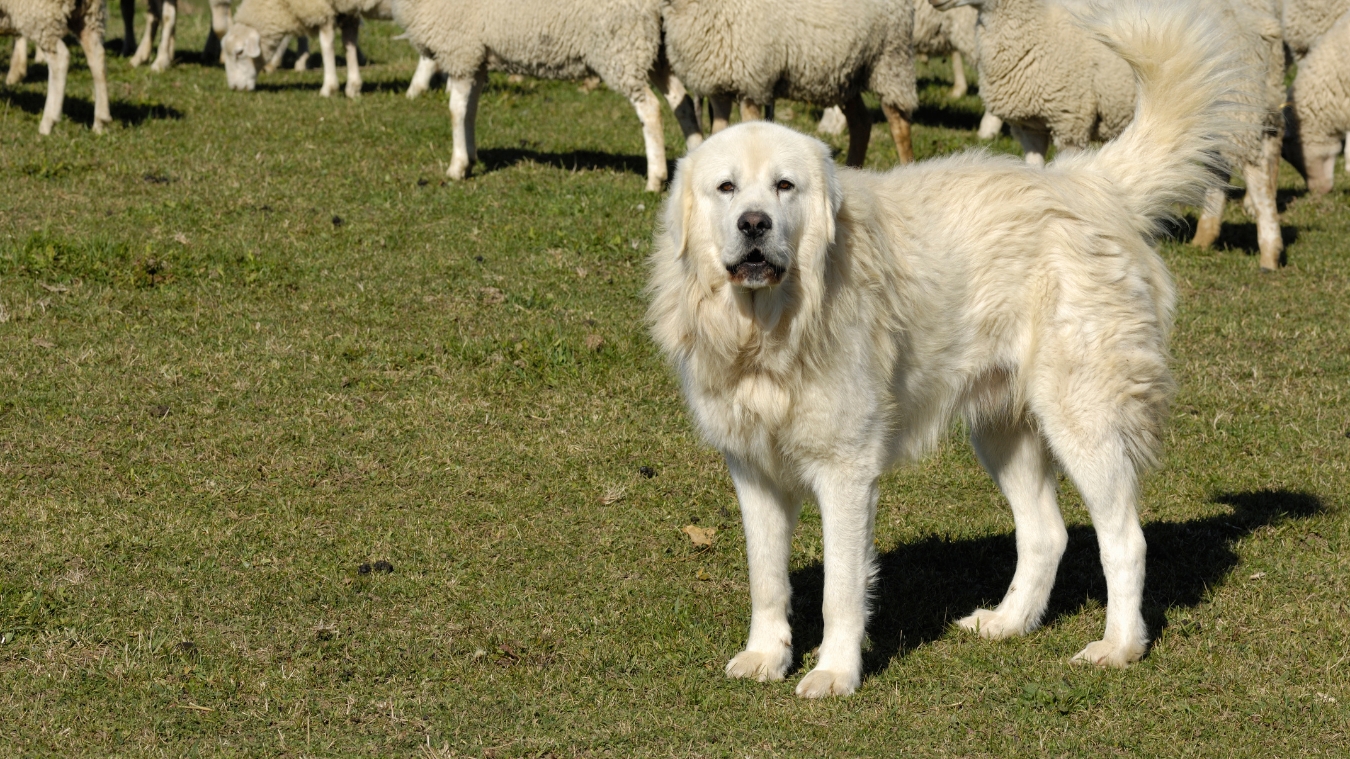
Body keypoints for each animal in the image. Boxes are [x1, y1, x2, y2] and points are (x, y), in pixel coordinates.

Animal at [1, 0, 111, 135]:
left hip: (39, 15)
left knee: (60, 58)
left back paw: (47, 123)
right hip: (89, 15)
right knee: (97, 55)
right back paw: (100, 122)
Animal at [221, 0, 390, 98]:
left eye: (239, 52)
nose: (234, 87)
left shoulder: (322, 11)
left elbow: (327, 44)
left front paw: (328, 88)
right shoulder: (347, 11)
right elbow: (349, 44)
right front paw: (353, 87)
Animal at [394, 0, 705, 193]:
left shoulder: (460, 49)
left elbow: (456, 110)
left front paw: (457, 167)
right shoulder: (476, 59)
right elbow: (470, 110)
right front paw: (469, 158)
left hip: (621, 46)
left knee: (650, 108)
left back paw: (655, 179)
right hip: (658, 50)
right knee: (683, 104)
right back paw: (696, 156)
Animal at [661, 0, 919, 167]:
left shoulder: (752, 81)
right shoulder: (719, 84)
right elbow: (718, 133)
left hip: (889, 60)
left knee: (898, 123)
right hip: (845, 75)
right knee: (861, 122)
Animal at [934, 0, 1286, 270]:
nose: (934, 2)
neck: (1035, 27)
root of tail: (1261, 23)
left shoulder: (1071, 120)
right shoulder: (1029, 128)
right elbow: (1033, 172)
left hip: (1241, 107)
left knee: (1256, 173)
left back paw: (1269, 253)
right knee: (1220, 170)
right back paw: (1205, 237)